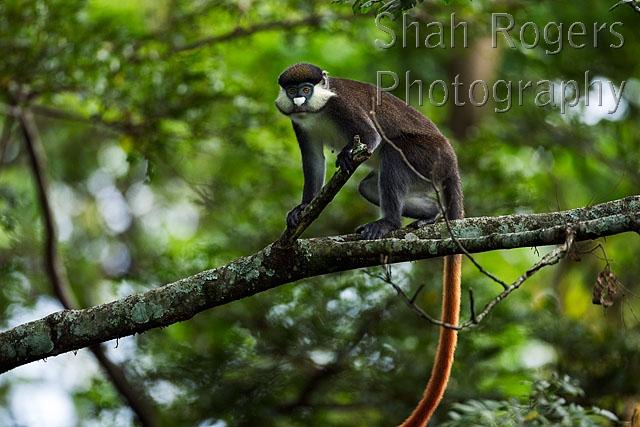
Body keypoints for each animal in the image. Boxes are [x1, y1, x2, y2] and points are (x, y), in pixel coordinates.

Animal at [275, 63, 464, 426]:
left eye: (306, 87)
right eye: (292, 91)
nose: (299, 100)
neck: (316, 110)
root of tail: (451, 160)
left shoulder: (343, 107)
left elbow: (372, 137)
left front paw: (347, 156)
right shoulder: (300, 126)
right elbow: (314, 165)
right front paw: (301, 209)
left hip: (425, 157)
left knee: (391, 153)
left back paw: (389, 223)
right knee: (368, 188)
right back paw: (430, 217)